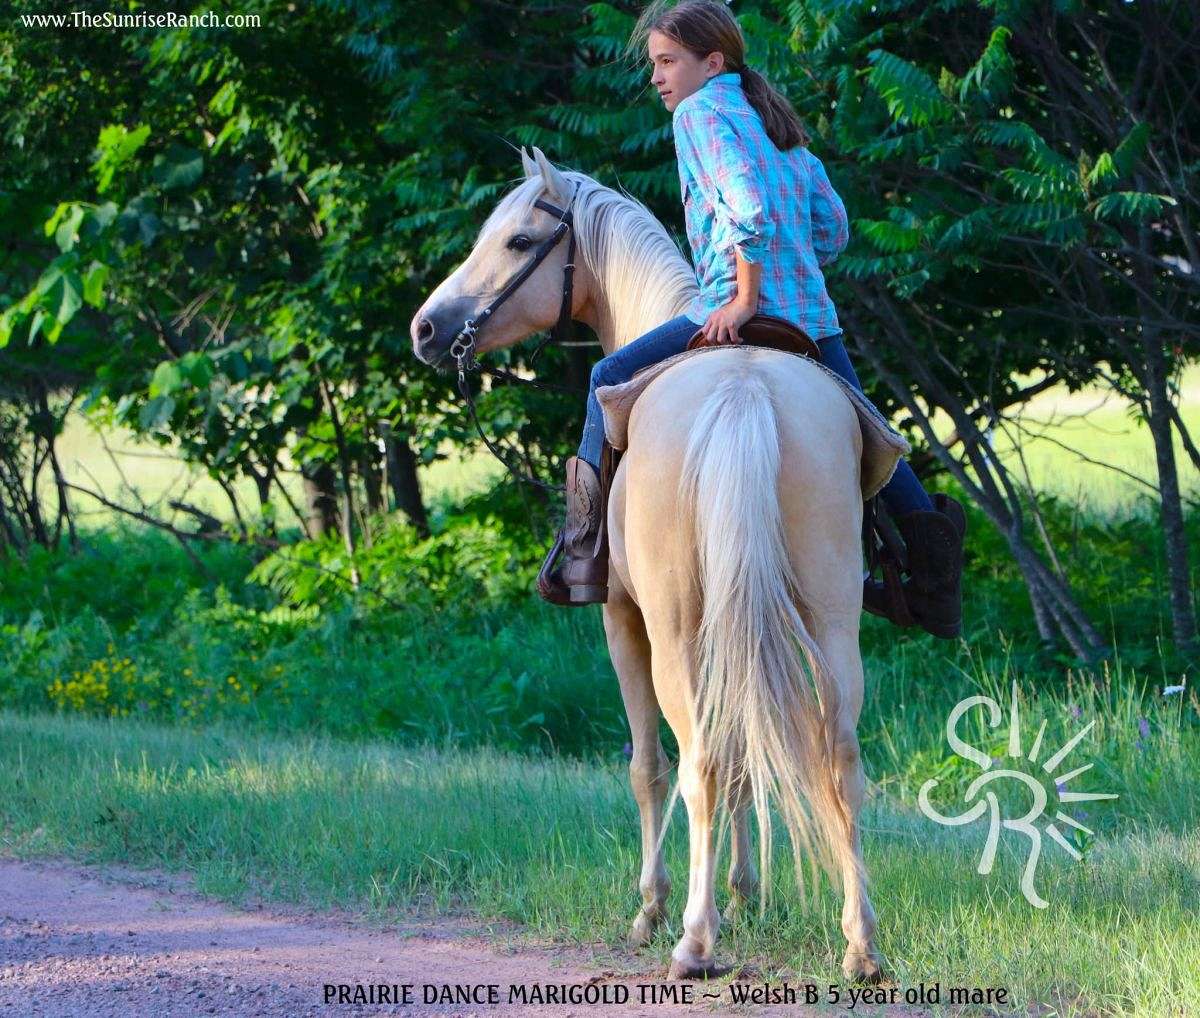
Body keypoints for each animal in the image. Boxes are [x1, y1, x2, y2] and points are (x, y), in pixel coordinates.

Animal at [410, 146, 882, 983]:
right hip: (830, 625)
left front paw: (655, 906)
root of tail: (745, 391)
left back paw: (690, 938)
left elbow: (648, 766)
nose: (428, 328)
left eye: (517, 240)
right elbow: (745, 753)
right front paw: (745, 893)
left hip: (671, 634)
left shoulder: (622, 622)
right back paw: (859, 944)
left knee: (695, 763)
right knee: (838, 760)